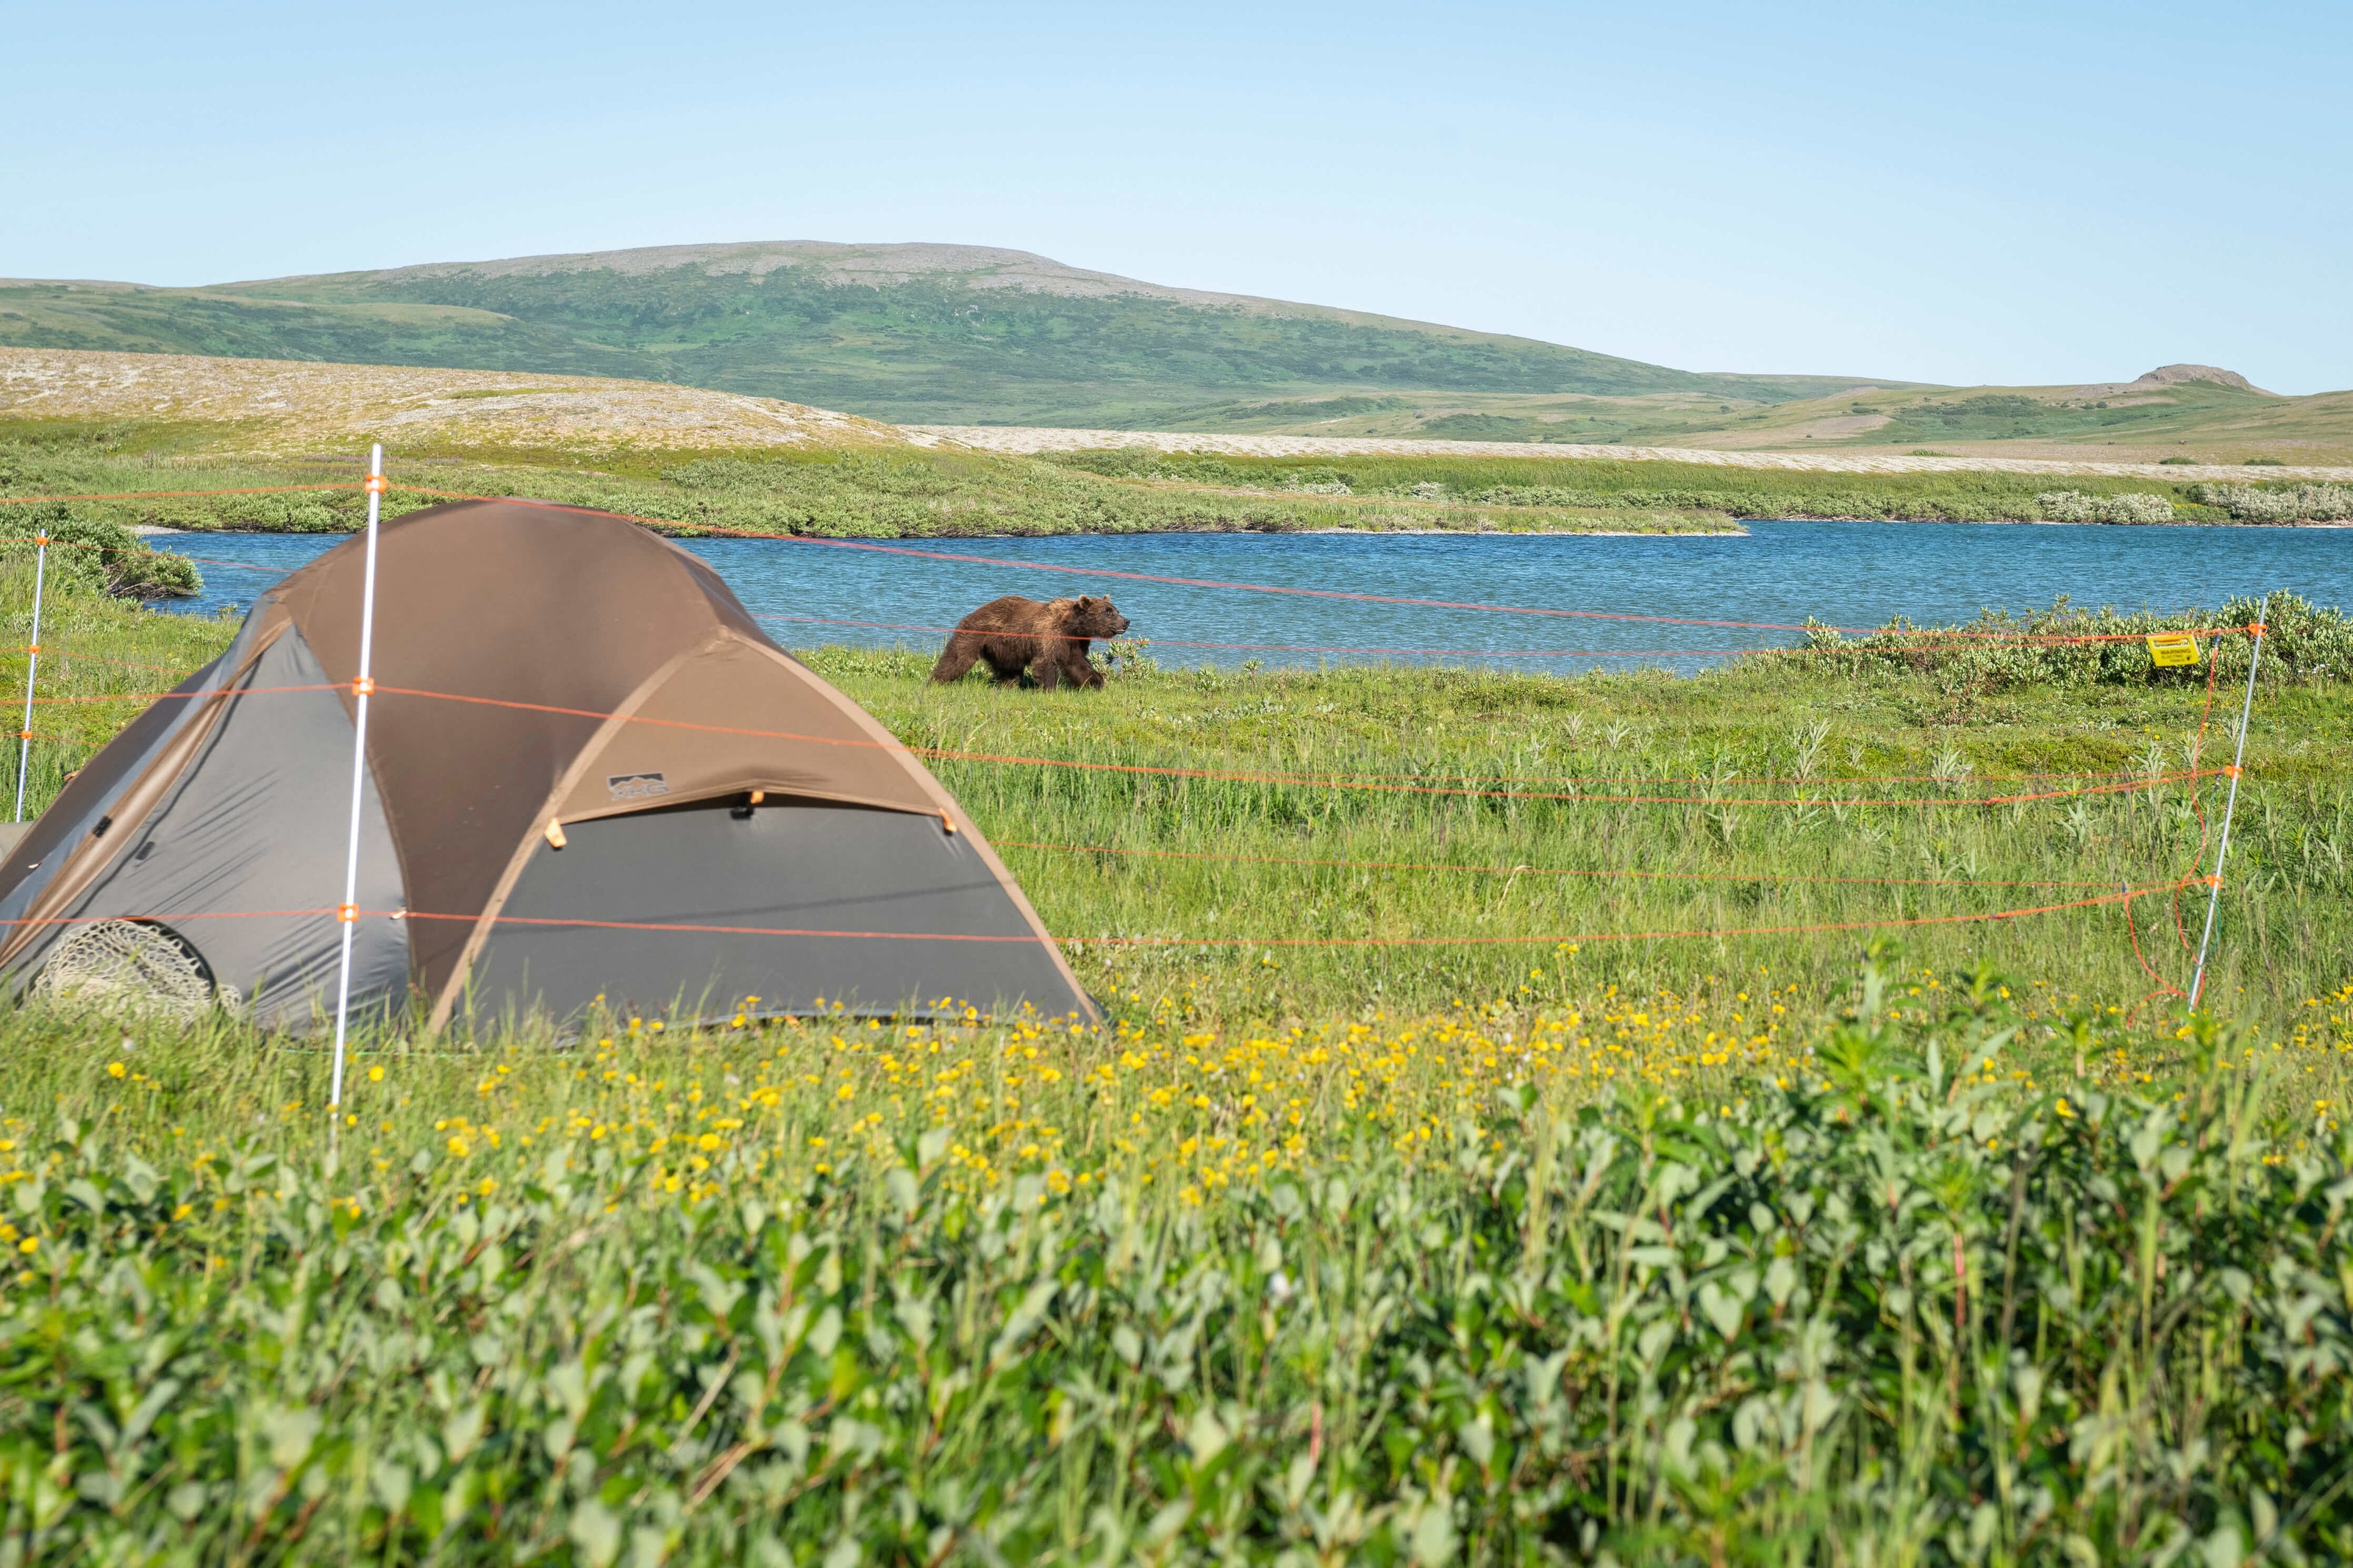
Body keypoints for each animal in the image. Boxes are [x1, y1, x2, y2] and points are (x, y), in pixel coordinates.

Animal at [929, 594, 1132, 689]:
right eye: (1108, 612)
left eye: (1116, 610)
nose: (1126, 621)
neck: (1073, 627)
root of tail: (973, 613)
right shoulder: (1049, 635)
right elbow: (1046, 663)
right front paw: (1048, 689)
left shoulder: (1073, 644)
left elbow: (1077, 665)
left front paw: (1096, 682)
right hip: (975, 635)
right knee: (957, 658)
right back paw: (936, 680)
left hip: (1005, 648)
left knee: (1009, 669)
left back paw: (1009, 685)